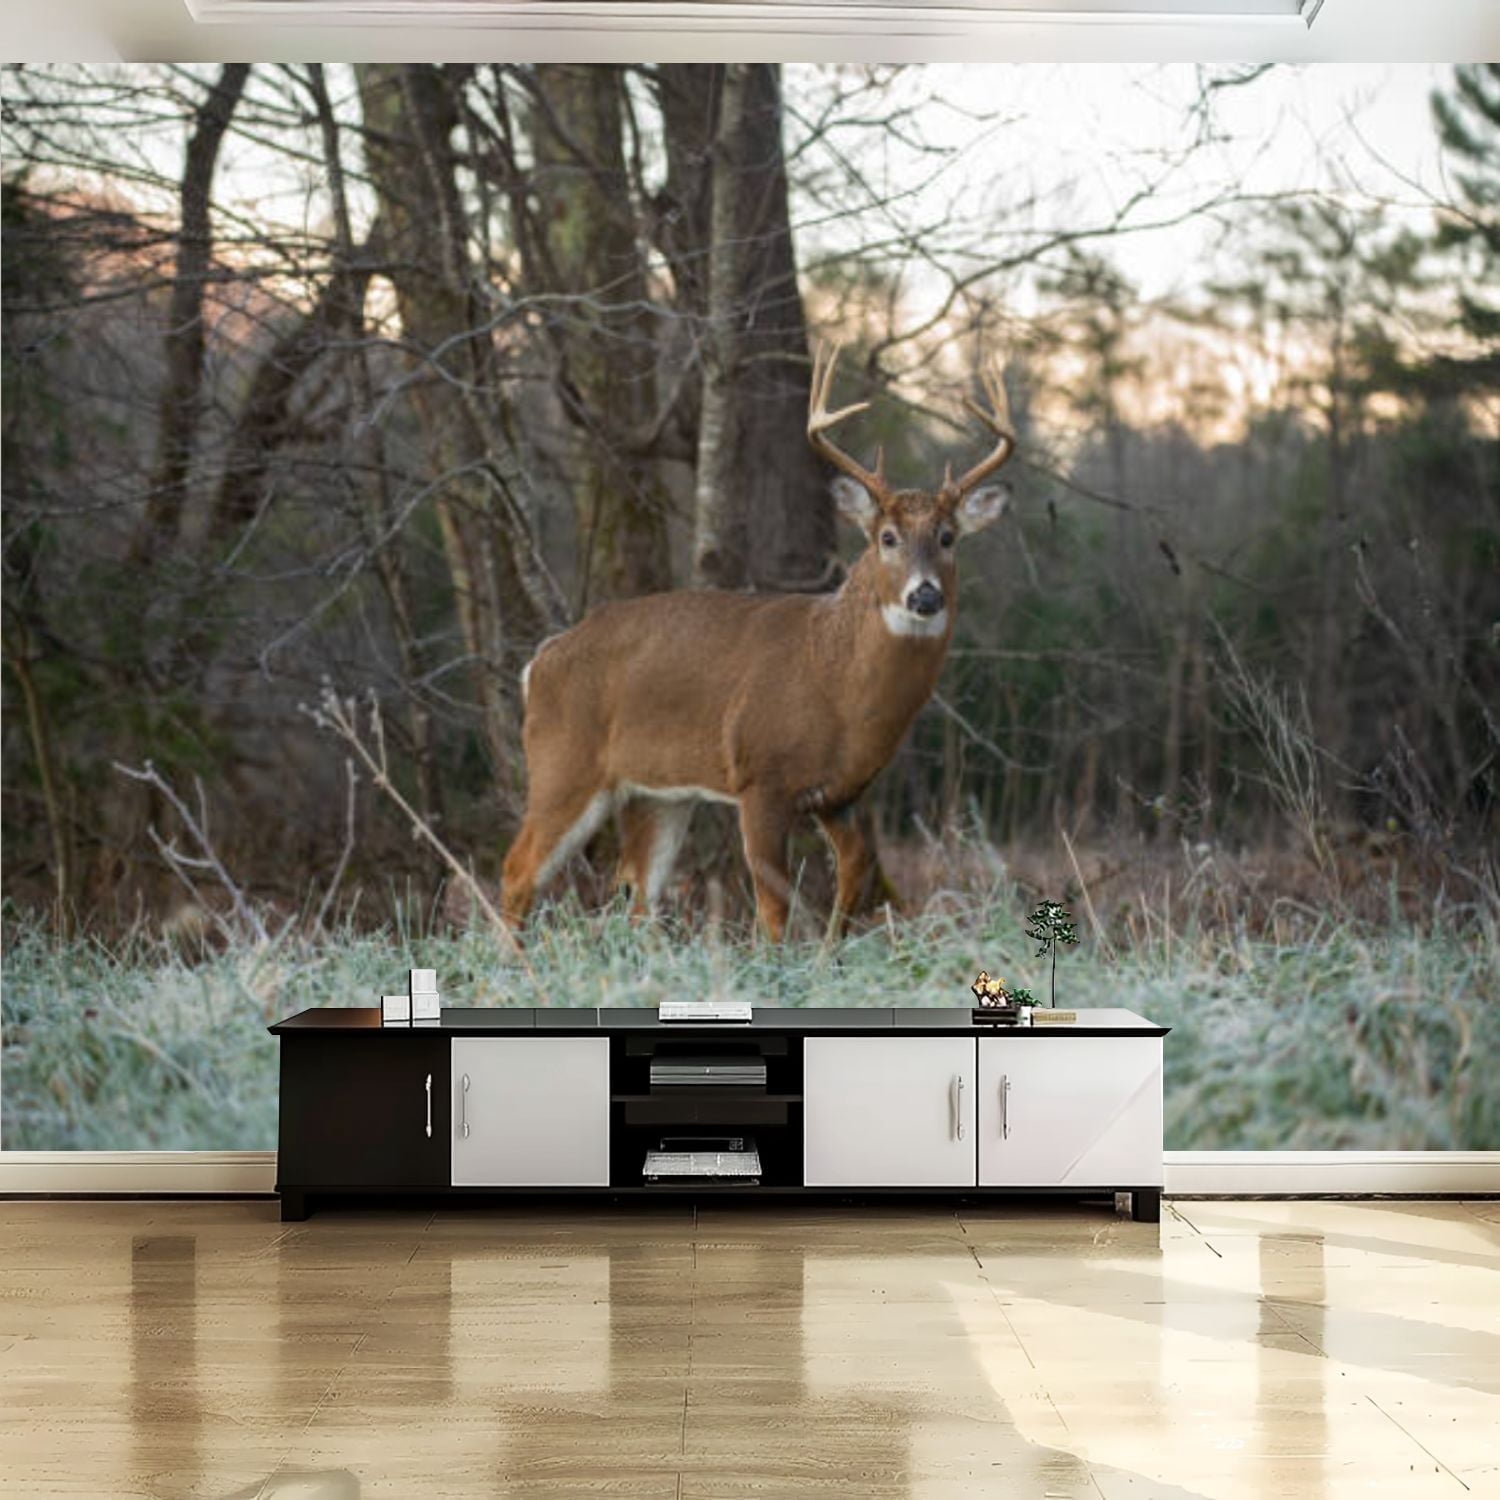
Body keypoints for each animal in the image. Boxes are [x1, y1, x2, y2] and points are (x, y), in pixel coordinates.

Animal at [500, 344, 1016, 941]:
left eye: (948, 537)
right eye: (887, 538)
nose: (925, 594)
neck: (838, 684)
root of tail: (540, 661)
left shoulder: (840, 793)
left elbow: (854, 876)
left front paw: (829, 954)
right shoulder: (760, 777)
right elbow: (773, 908)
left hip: (656, 792)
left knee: (639, 897)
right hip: (563, 762)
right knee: (518, 872)